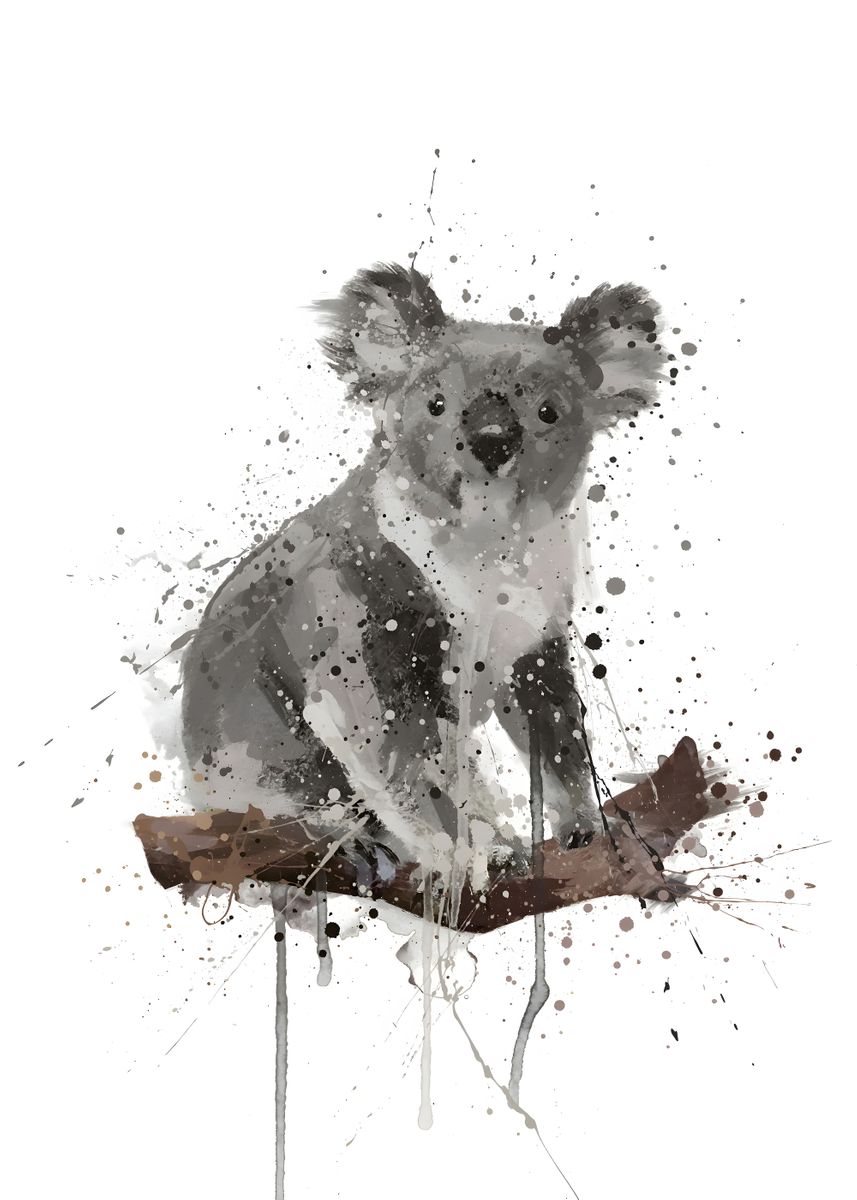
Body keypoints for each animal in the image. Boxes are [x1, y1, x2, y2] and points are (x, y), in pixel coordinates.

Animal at [181, 262, 667, 893]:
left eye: (548, 412)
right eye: (435, 404)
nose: (491, 441)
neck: (485, 550)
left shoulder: (532, 641)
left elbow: (555, 734)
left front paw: (586, 826)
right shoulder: (363, 621)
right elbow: (404, 754)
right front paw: (478, 856)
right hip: (255, 763)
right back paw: (353, 845)